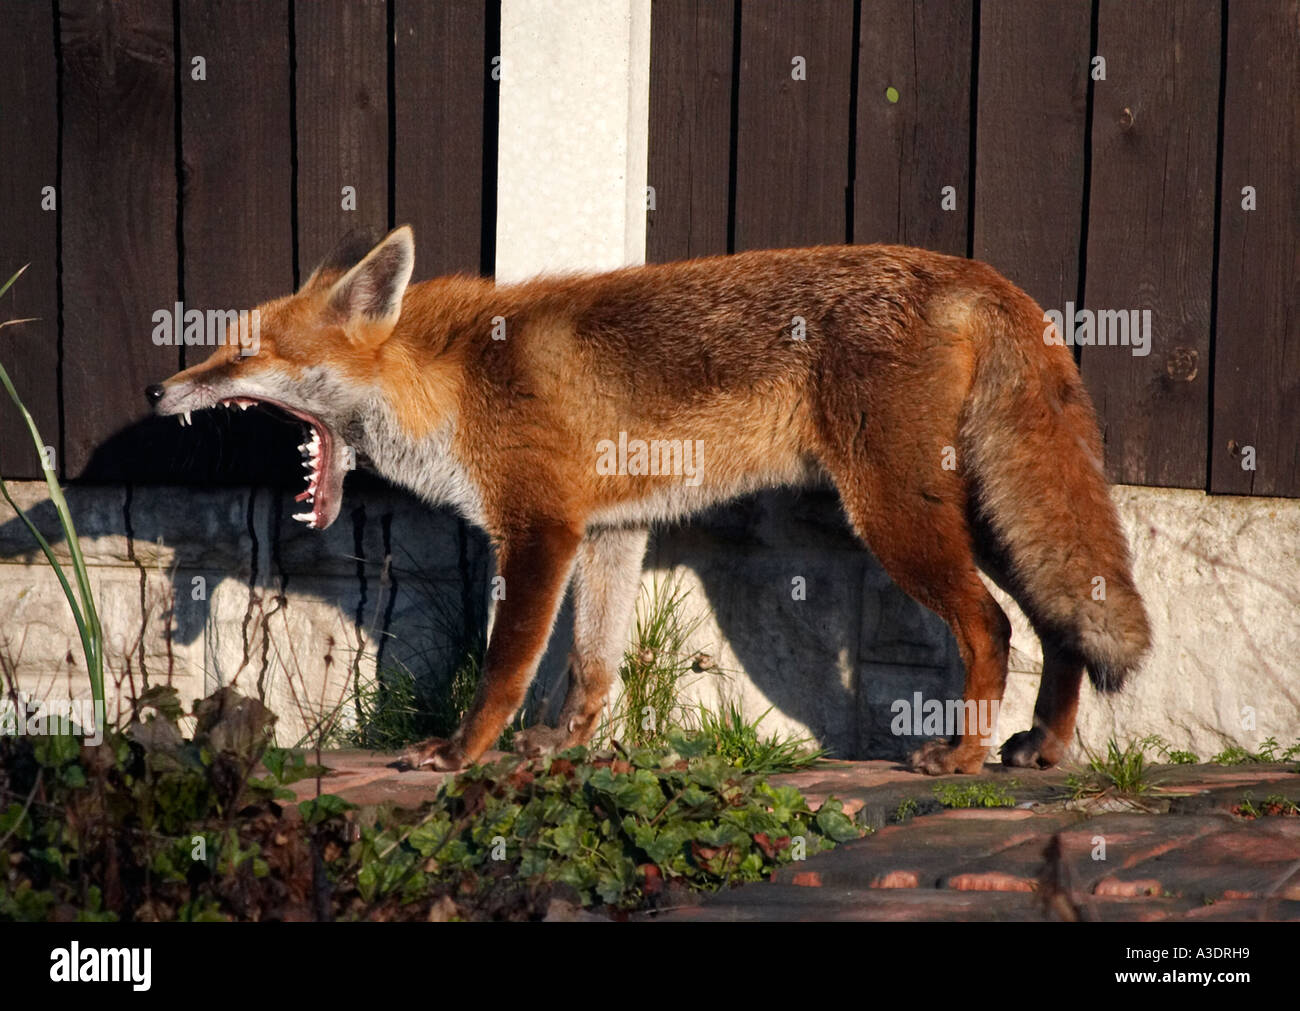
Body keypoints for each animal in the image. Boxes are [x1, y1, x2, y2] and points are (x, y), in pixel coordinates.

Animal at [146, 225, 1151, 775]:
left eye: (242, 352)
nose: (159, 391)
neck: (454, 382)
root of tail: (976, 272)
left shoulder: (539, 527)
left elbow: (506, 665)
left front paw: (461, 755)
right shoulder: (611, 531)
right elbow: (592, 664)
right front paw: (565, 746)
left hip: (898, 515)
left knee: (994, 627)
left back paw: (964, 755)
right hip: (974, 511)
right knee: (1063, 619)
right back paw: (1043, 746)